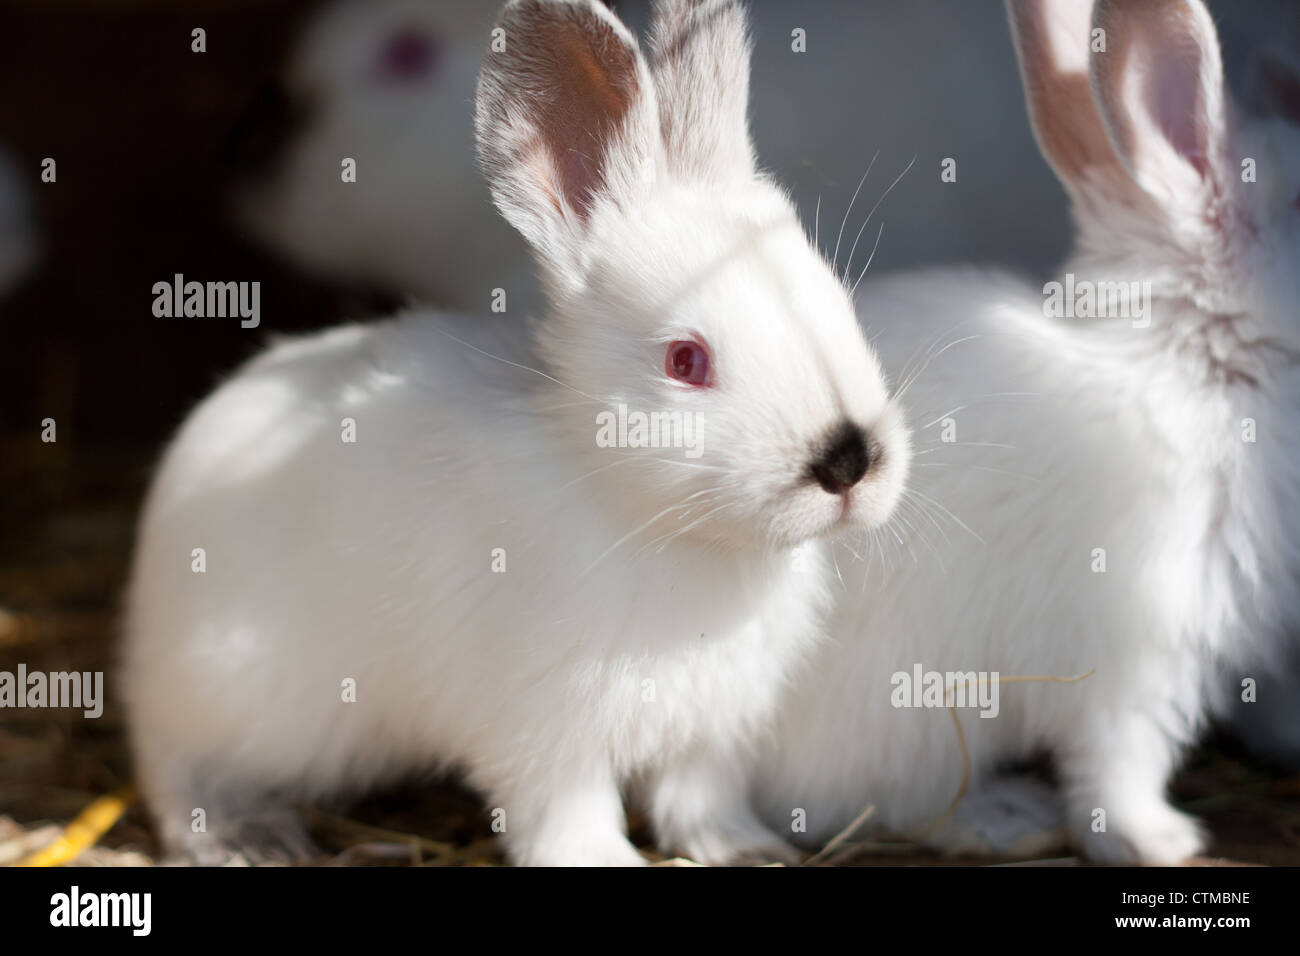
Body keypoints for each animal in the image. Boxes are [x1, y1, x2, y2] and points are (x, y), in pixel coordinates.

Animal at [121, 0, 911, 867]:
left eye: (834, 299)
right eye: (686, 360)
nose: (849, 460)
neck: (658, 525)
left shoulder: (709, 735)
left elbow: (701, 798)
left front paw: (746, 850)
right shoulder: (544, 735)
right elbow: (565, 813)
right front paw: (605, 862)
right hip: (230, 701)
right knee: (178, 768)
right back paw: (246, 837)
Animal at [754, 0, 1300, 865]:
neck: (1199, 366)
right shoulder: (1137, 653)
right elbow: (1119, 760)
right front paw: (1158, 839)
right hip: (895, 714)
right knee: (850, 800)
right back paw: (1006, 817)